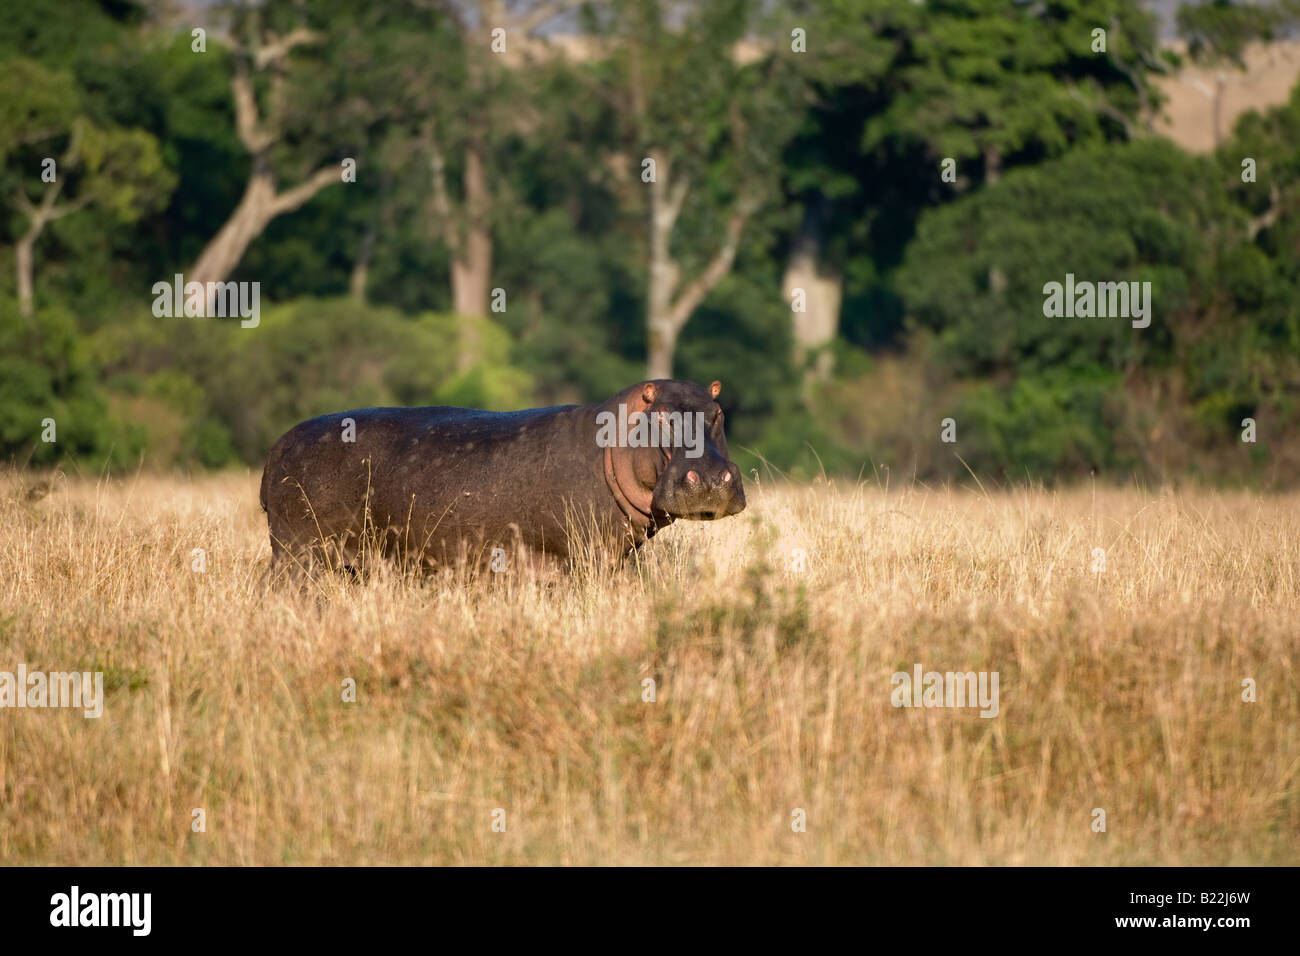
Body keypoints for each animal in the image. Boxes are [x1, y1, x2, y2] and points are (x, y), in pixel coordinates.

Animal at [259, 379, 745, 579]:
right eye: (660, 415)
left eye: (718, 412)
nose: (710, 478)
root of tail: (276, 447)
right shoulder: (586, 556)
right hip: (299, 553)